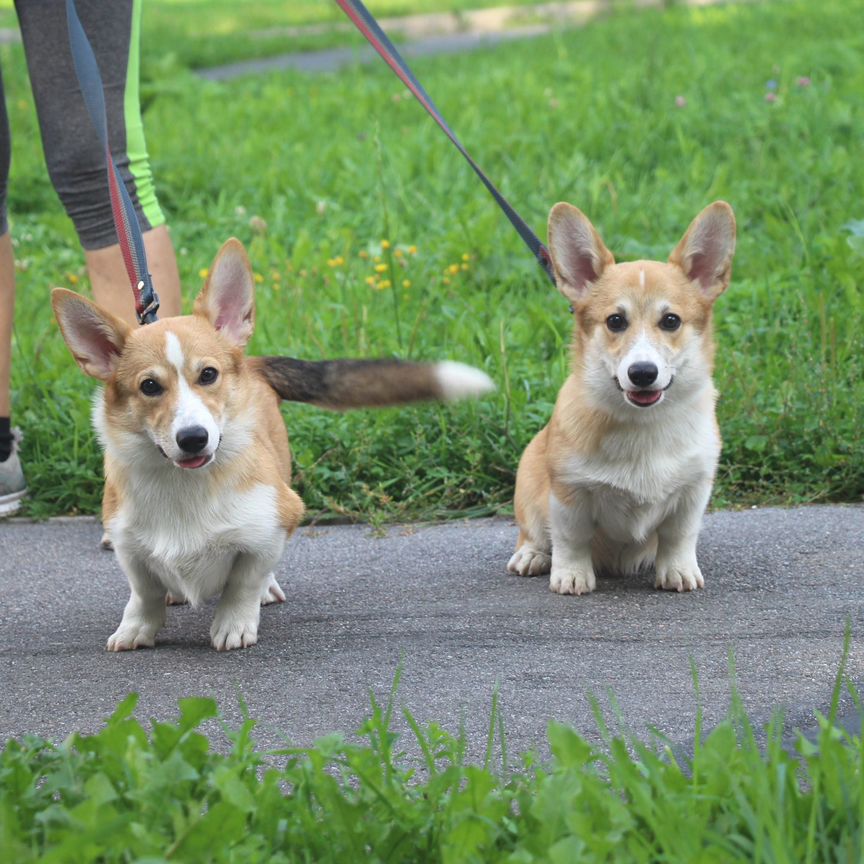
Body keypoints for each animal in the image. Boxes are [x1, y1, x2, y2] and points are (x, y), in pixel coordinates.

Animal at [54, 236, 492, 648]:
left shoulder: (272, 524)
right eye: (149, 386)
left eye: (208, 375)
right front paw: (136, 628)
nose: (193, 439)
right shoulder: (127, 544)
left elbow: (242, 581)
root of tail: (250, 362)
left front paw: (234, 623)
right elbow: (144, 591)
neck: (185, 486)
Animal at [506, 201, 736, 592]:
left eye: (671, 321)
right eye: (615, 321)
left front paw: (678, 571)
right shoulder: (568, 492)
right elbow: (570, 539)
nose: (642, 373)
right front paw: (571, 576)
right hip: (530, 476)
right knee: (533, 531)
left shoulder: (693, 490)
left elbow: (679, 536)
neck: (643, 425)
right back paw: (531, 555)